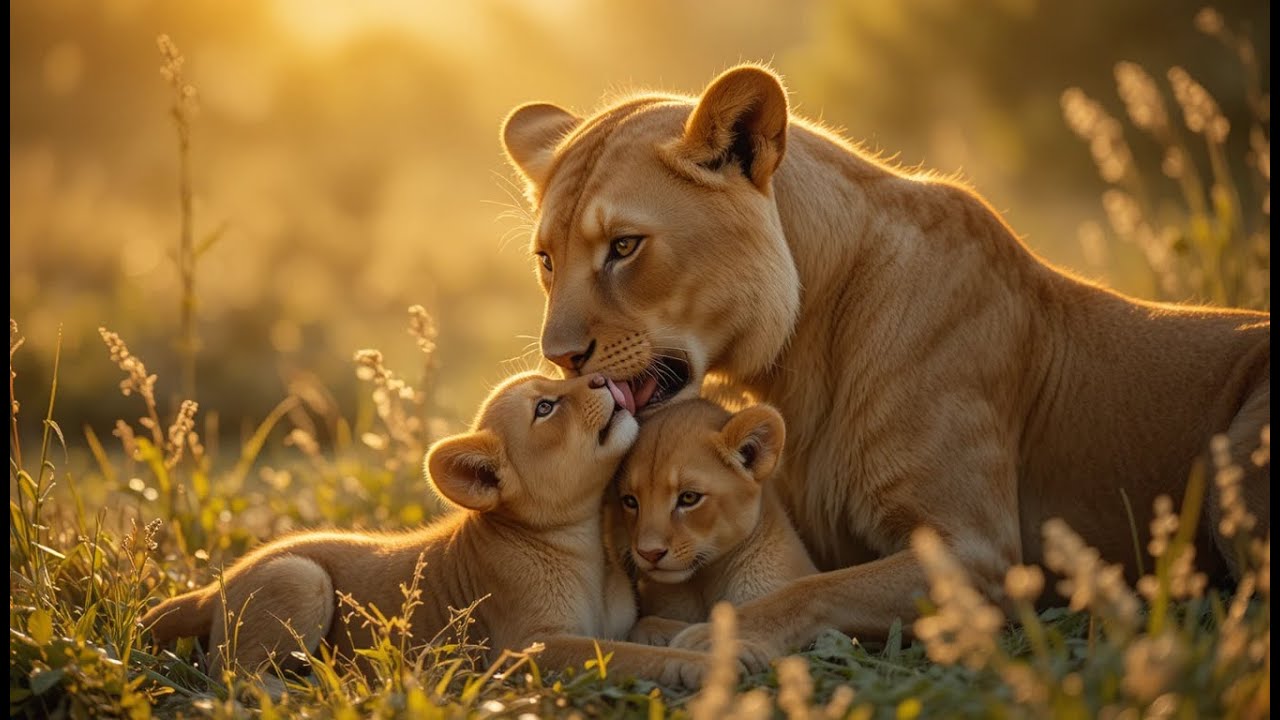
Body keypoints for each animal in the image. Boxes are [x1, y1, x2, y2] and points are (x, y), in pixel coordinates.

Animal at [141, 373, 715, 690]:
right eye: (545, 407)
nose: (601, 377)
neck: (585, 542)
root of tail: (211, 588)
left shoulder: (618, 623)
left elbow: (657, 629)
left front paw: (716, 639)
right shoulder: (529, 648)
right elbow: (636, 656)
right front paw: (697, 668)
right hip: (301, 578)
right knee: (231, 675)